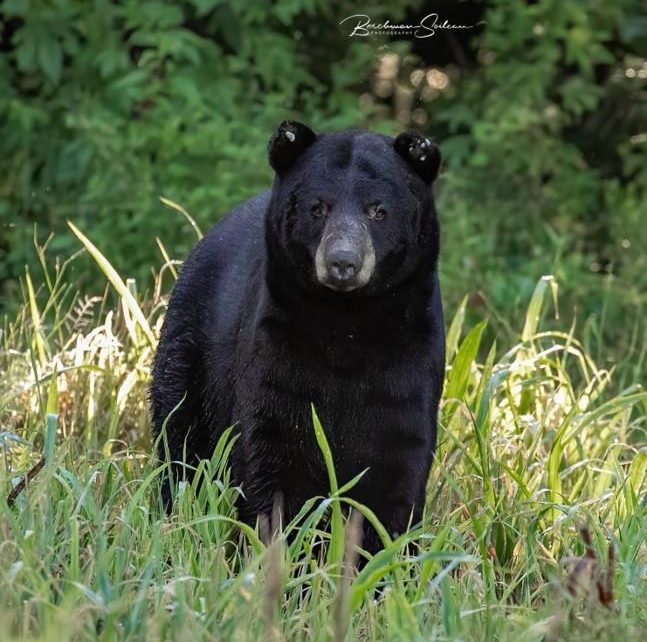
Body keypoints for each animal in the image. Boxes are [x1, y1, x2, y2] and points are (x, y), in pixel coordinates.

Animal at [151, 121, 445, 553]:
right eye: (317, 207)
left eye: (378, 210)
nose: (343, 262)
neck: (348, 327)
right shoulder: (277, 346)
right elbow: (272, 453)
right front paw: (277, 552)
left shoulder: (410, 359)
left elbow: (395, 467)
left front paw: (383, 559)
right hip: (189, 348)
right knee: (179, 442)